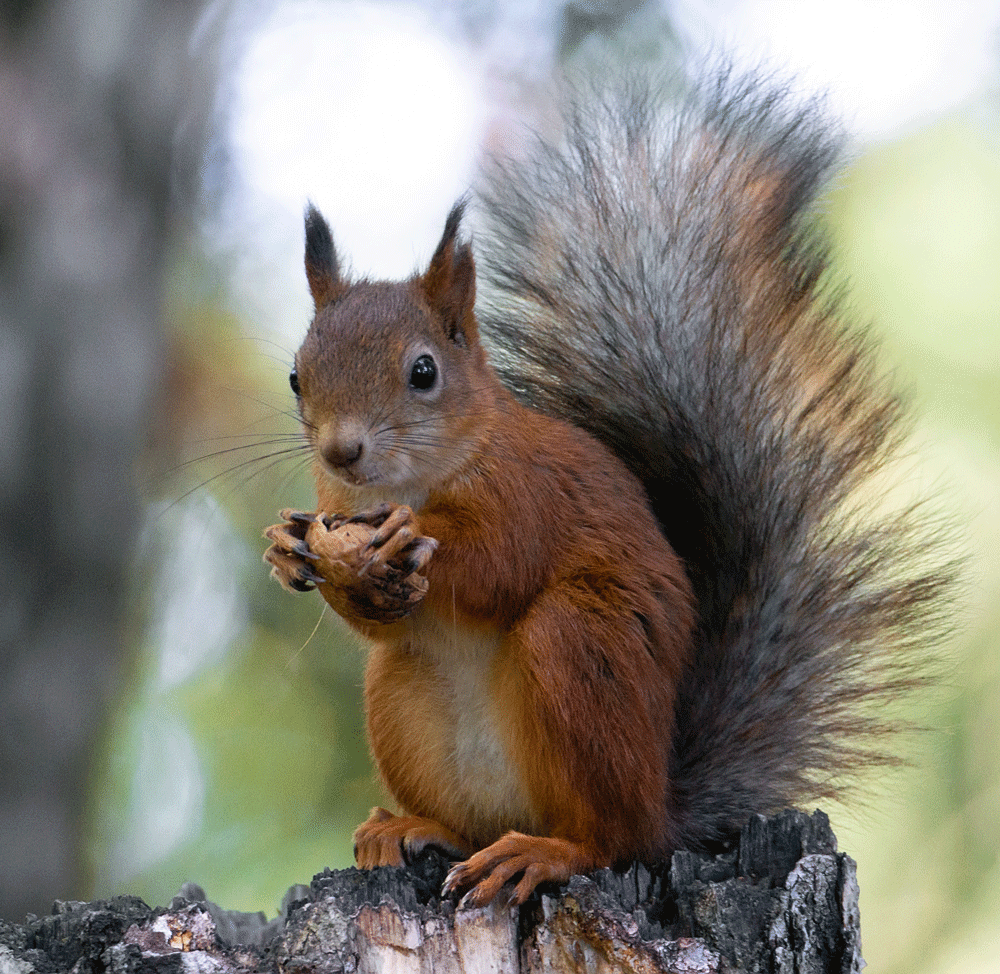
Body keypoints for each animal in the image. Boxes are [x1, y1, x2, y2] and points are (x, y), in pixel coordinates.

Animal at [263, 72, 953, 908]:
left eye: (423, 371)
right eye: (297, 377)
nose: (343, 450)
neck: (416, 479)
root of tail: (661, 804)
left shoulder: (530, 492)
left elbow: (501, 564)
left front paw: (405, 540)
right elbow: (371, 617)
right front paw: (288, 549)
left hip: (581, 648)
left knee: (610, 839)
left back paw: (547, 853)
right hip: (402, 690)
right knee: (465, 810)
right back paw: (413, 826)